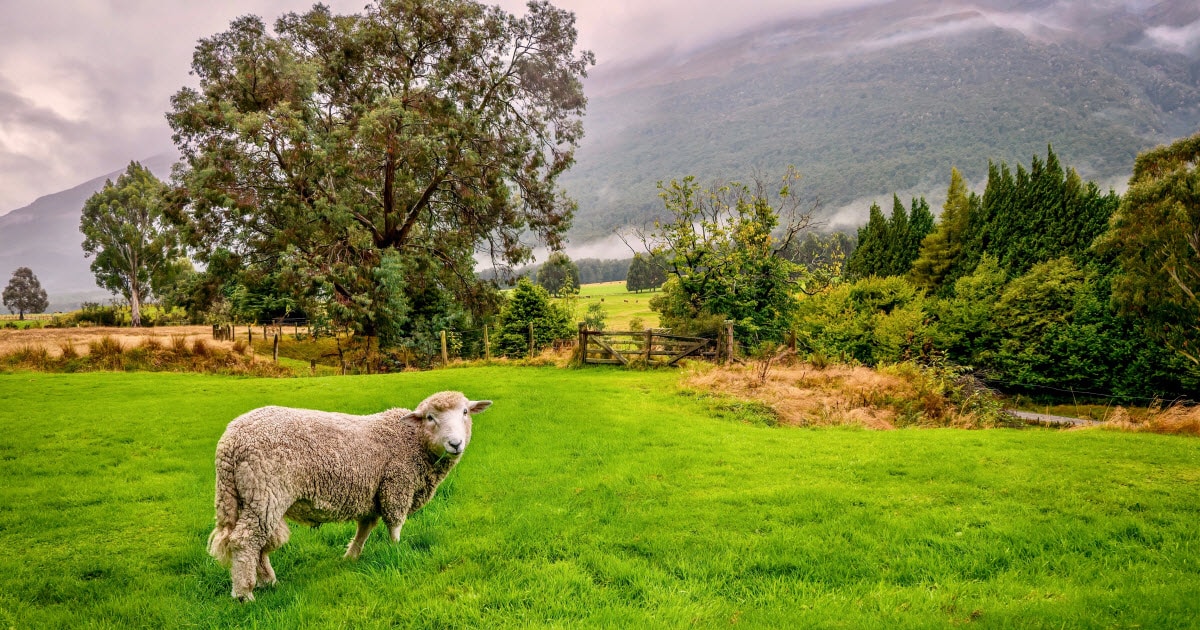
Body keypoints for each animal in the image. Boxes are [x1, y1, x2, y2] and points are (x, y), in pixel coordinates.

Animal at [207, 391, 492, 601]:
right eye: (431, 417)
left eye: (465, 412)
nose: (455, 444)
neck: (412, 441)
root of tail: (229, 442)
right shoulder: (396, 485)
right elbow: (395, 525)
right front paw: (396, 551)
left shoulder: (372, 495)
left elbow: (365, 529)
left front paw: (351, 558)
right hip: (264, 492)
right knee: (245, 541)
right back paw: (244, 594)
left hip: (246, 497)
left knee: (259, 543)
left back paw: (268, 581)